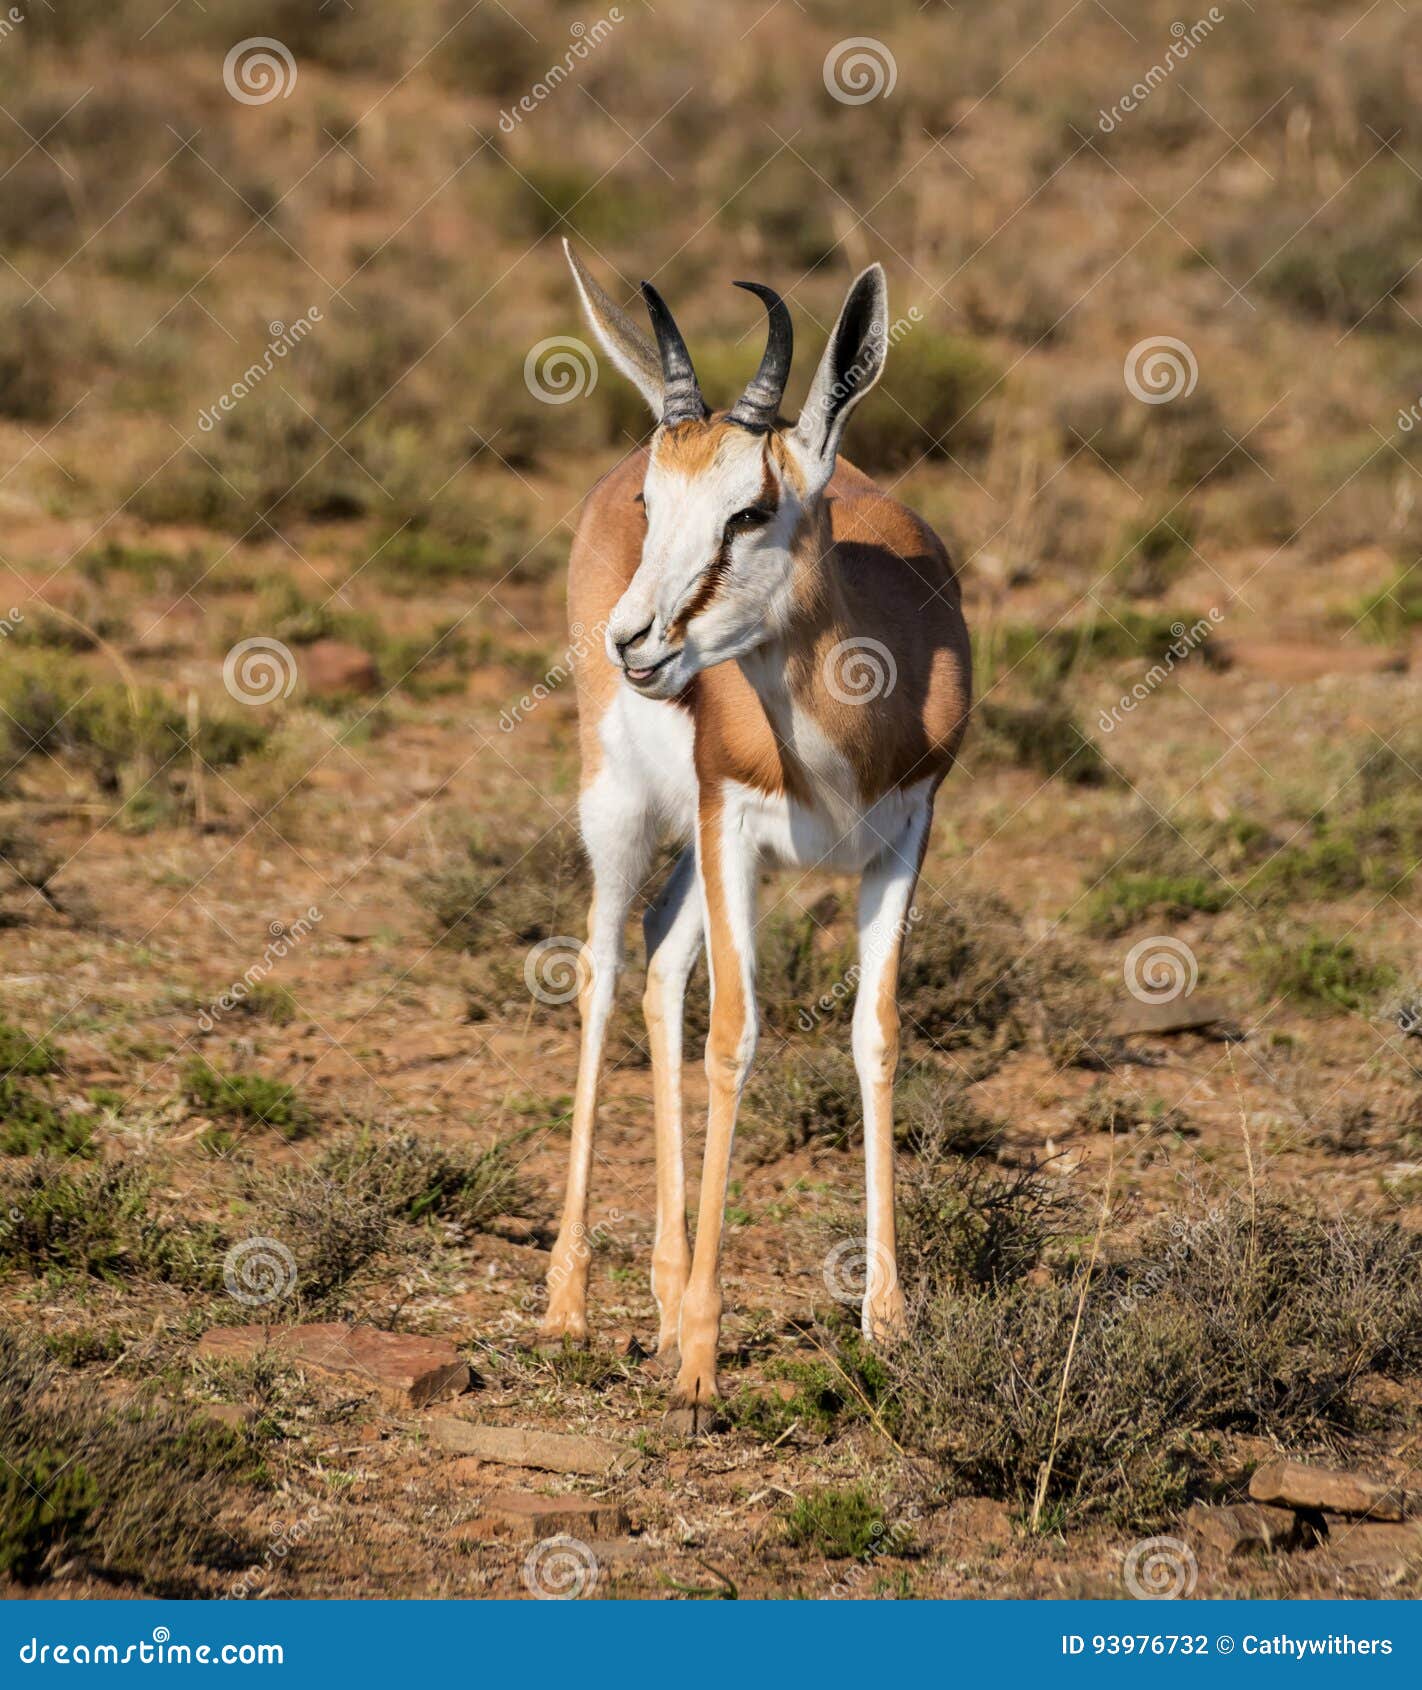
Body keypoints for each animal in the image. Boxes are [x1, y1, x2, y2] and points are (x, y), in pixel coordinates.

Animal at [540, 241, 971, 1425]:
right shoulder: (732, 821)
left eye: (748, 511)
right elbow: (735, 1036)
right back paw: (572, 1305)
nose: (635, 641)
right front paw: (699, 1364)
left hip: (696, 848)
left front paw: (889, 1325)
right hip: (625, 810)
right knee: (604, 970)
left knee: (658, 962)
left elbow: (877, 1034)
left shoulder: (902, 841)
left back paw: (656, 1289)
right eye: (657, 502)